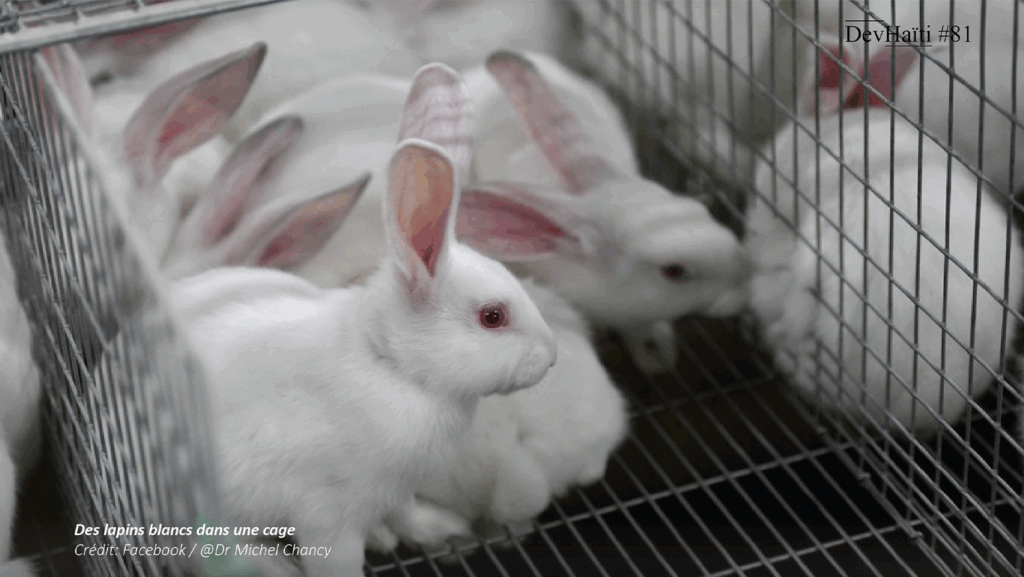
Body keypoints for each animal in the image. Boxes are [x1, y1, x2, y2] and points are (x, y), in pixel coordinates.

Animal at [153, 138, 557, 577]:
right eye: (492, 316)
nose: (551, 356)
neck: (389, 364)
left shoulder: (396, 488)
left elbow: (406, 513)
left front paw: (442, 528)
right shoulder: (329, 515)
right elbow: (339, 561)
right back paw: (277, 563)